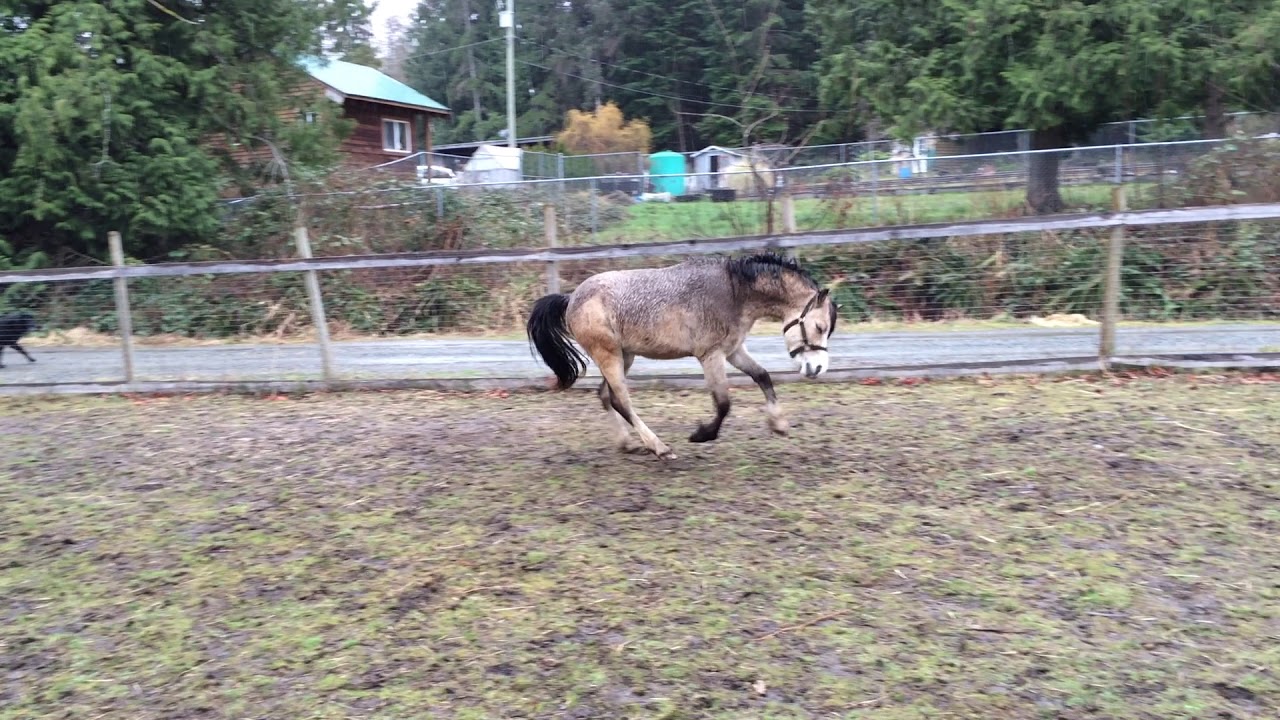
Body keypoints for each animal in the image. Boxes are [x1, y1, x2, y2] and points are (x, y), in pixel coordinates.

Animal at [525, 252, 838, 460]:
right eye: (820, 327)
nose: (817, 368)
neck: (734, 292)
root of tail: (571, 298)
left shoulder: (733, 351)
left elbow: (762, 376)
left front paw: (779, 424)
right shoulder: (710, 355)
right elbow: (723, 404)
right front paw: (701, 435)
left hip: (624, 356)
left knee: (606, 396)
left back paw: (629, 444)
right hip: (609, 355)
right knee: (622, 400)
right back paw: (659, 447)